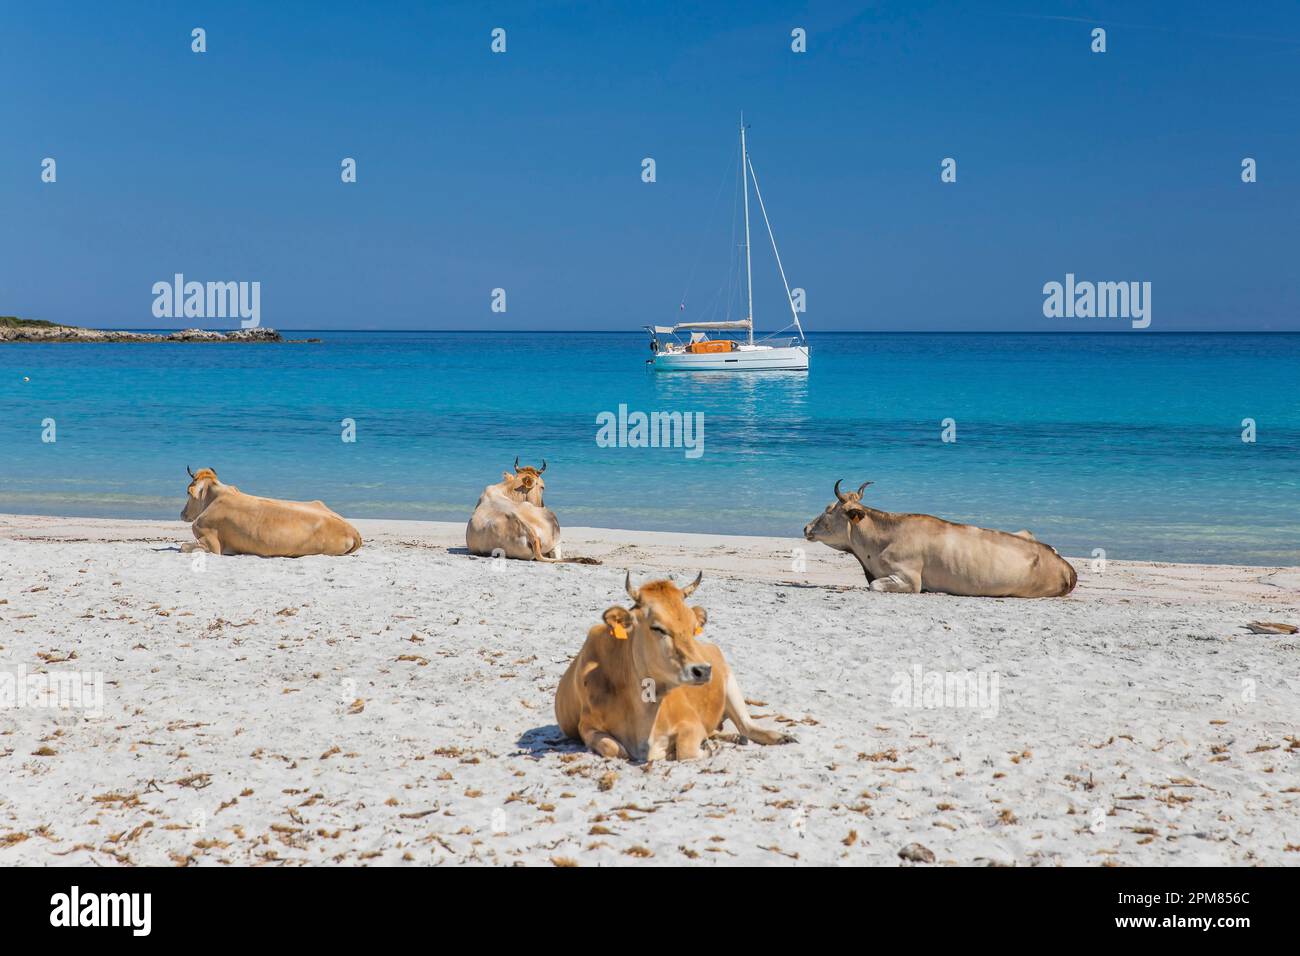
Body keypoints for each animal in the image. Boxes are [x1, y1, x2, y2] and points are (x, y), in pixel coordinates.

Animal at [554, 572, 794, 761]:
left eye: (693, 626)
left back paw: (777, 736)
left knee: (747, 725)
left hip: (730, 682)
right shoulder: (586, 727)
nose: (703, 670)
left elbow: (686, 750)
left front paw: (703, 748)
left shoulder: (690, 721)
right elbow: (614, 749)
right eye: (657, 628)